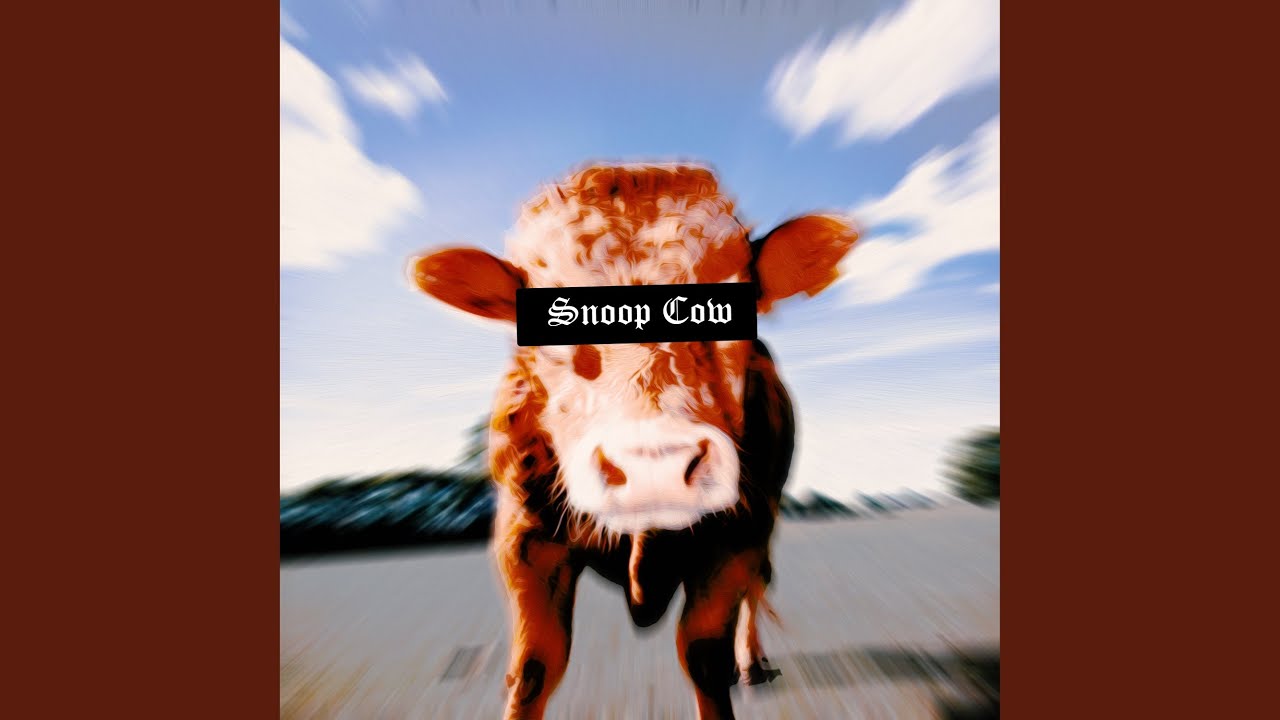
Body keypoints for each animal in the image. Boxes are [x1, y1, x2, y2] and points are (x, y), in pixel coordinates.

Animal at [411, 164, 858, 720]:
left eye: (735, 303)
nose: (654, 465)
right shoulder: (524, 537)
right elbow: (535, 667)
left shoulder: (741, 531)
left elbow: (704, 654)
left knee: (756, 589)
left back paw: (751, 661)